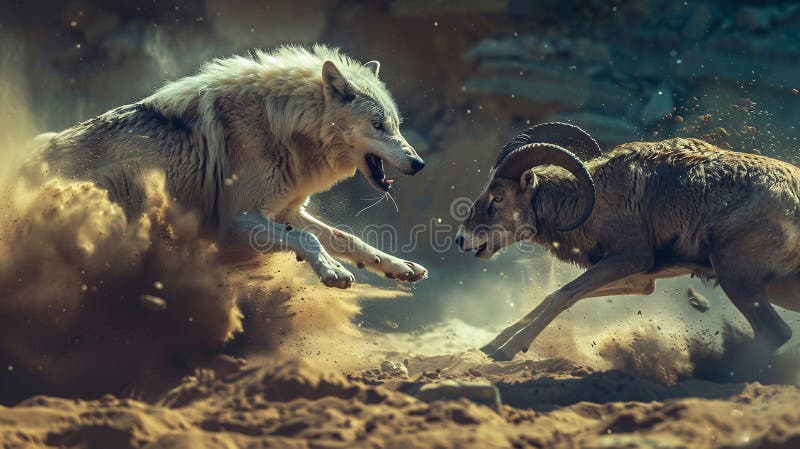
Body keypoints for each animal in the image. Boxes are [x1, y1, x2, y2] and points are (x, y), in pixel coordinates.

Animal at [27, 45, 428, 288]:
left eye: (395, 124)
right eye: (377, 125)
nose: (419, 163)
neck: (281, 128)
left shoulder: (285, 212)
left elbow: (347, 238)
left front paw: (397, 266)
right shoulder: (233, 222)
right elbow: (309, 239)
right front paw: (332, 269)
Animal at [456, 122, 800, 361]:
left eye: (498, 197)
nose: (462, 240)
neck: (597, 198)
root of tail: (794, 201)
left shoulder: (628, 259)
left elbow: (562, 296)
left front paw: (507, 350)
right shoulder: (638, 280)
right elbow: (555, 297)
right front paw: (490, 346)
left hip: (736, 278)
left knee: (775, 333)